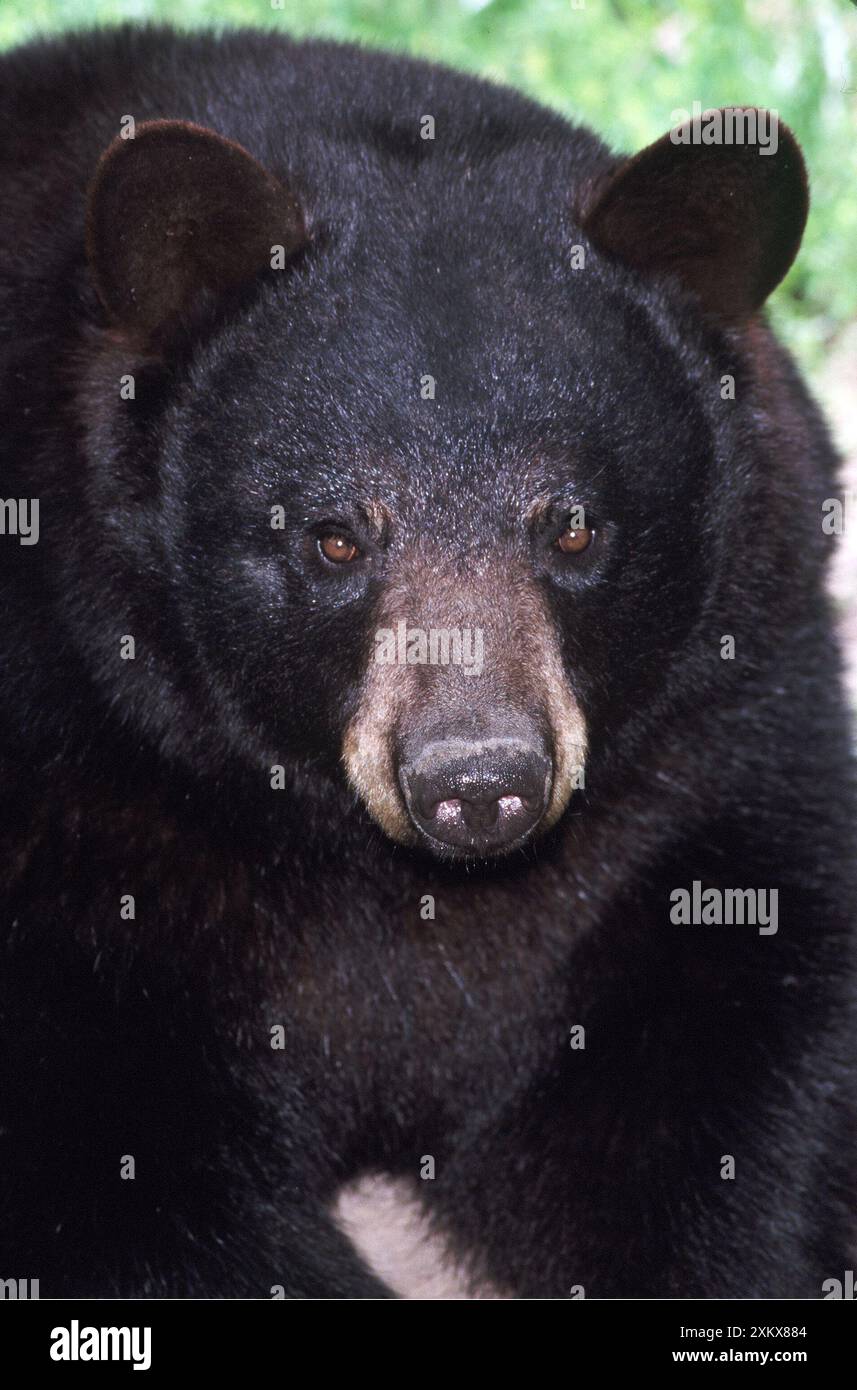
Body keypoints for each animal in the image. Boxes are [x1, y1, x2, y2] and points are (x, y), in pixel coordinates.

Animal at [0, 23, 854, 1300]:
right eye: (332, 535)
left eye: (572, 526)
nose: (476, 779)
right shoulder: (76, 813)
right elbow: (111, 1184)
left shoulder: (719, 754)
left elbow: (745, 1107)